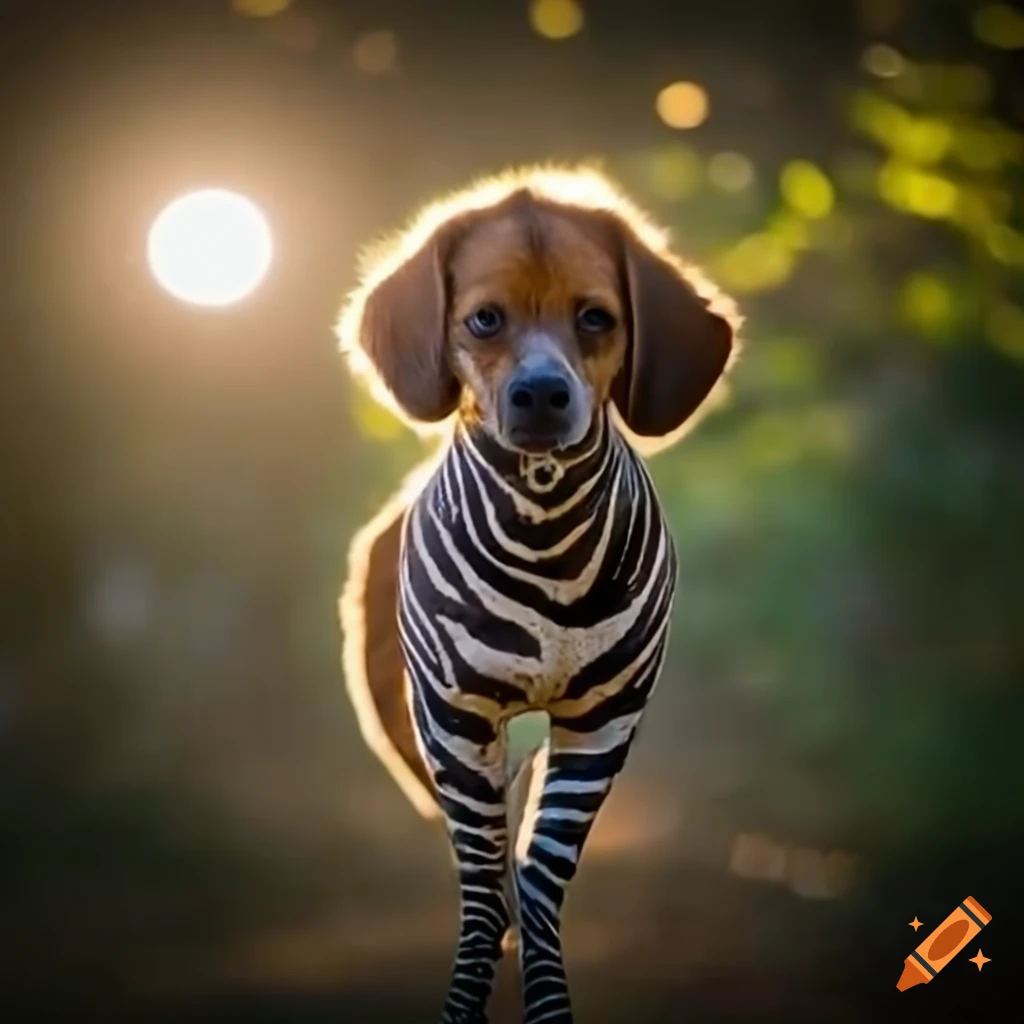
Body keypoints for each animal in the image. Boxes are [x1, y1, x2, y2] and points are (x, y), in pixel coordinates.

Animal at [338, 167, 740, 1023]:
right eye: (484, 320)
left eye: (596, 318)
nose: (542, 396)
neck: (546, 535)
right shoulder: (455, 724)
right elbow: (488, 883)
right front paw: (467, 1000)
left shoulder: (602, 721)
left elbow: (542, 876)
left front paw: (547, 1003)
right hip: (413, 731)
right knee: (485, 867)